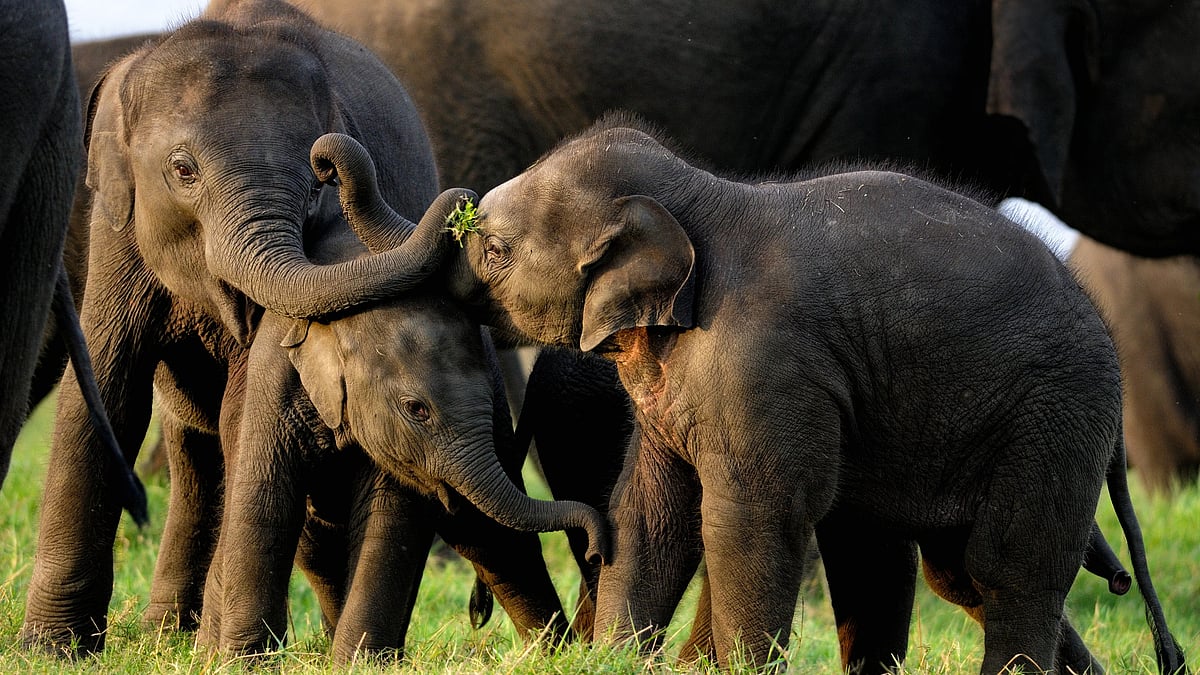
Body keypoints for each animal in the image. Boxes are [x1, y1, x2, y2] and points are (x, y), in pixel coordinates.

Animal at [19, 0, 469, 653]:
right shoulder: (114, 228)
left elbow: (244, 410)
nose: (332, 158)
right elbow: (105, 389)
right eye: (182, 170)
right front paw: (51, 649)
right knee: (192, 453)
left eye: (314, 181)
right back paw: (167, 636)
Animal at [326, 116, 1188, 673]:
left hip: (1055, 414)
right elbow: (653, 507)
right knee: (950, 567)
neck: (702, 194)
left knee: (1008, 566)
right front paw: (619, 655)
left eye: (497, 249)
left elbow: (751, 513)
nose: (325, 164)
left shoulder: (762, 360)